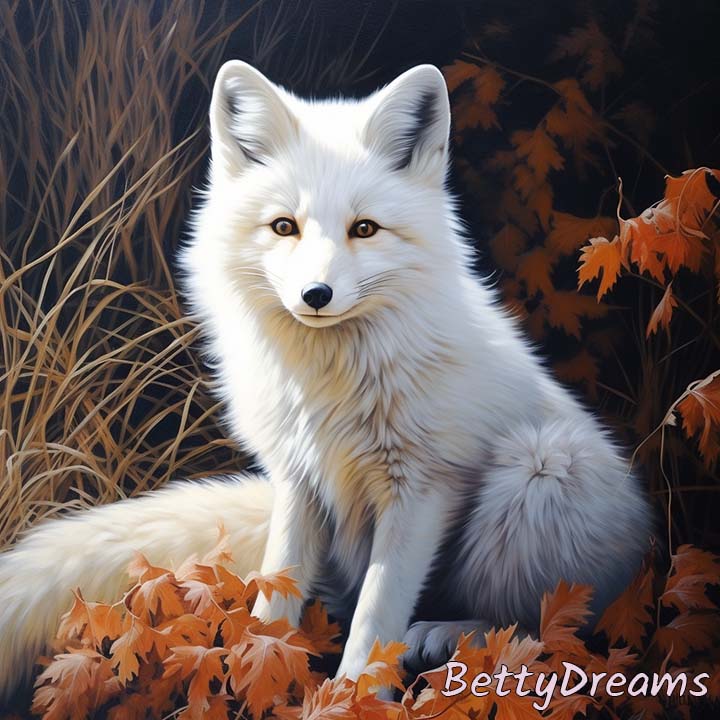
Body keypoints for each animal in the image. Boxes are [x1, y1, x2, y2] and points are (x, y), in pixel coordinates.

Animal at [0, 61, 652, 700]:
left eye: (365, 229)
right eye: (283, 226)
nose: (316, 295)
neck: (330, 382)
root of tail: (645, 544)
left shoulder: (422, 488)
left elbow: (378, 612)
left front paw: (353, 696)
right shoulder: (299, 477)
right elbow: (277, 587)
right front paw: (254, 669)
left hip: (543, 464)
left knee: (547, 624)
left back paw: (448, 634)